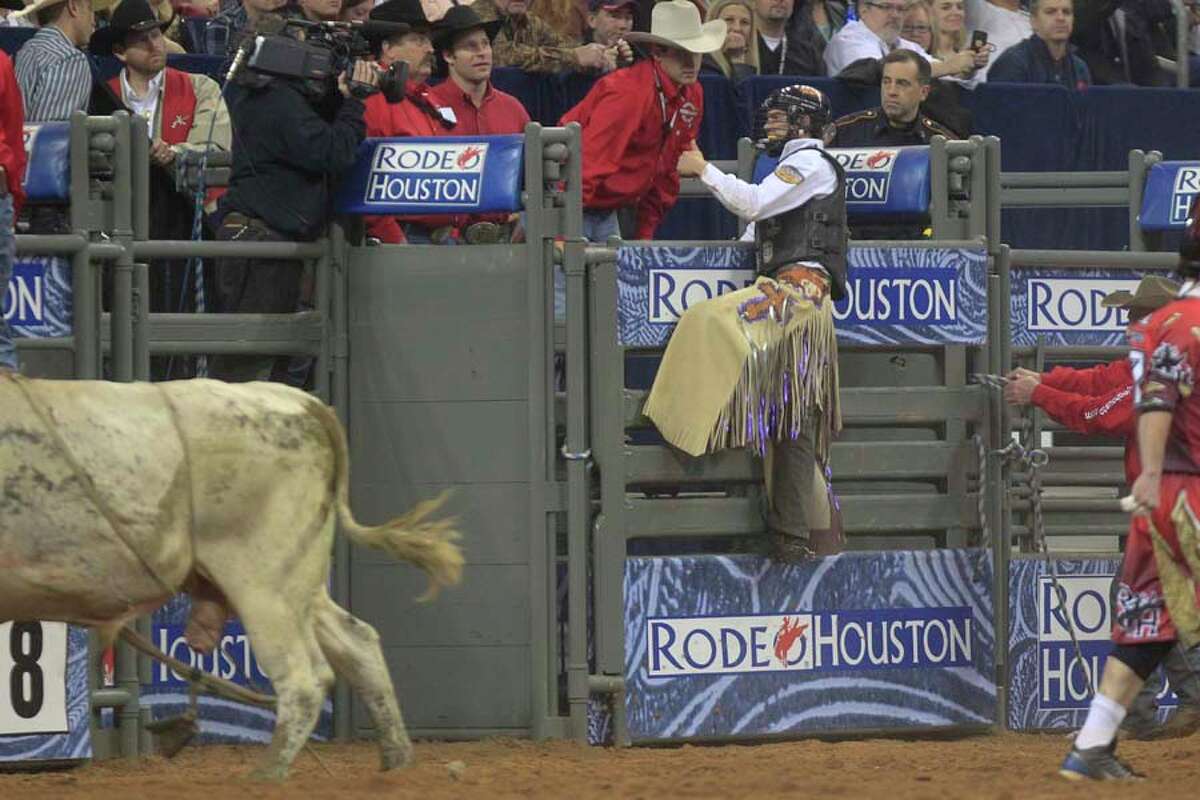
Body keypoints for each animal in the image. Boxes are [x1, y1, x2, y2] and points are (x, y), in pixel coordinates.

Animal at [0, 374, 463, 780]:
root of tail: (298, 400)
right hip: (299, 582)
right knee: (357, 641)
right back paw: (395, 761)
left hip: (264, 585)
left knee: (304, 678)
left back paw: (265, 775)